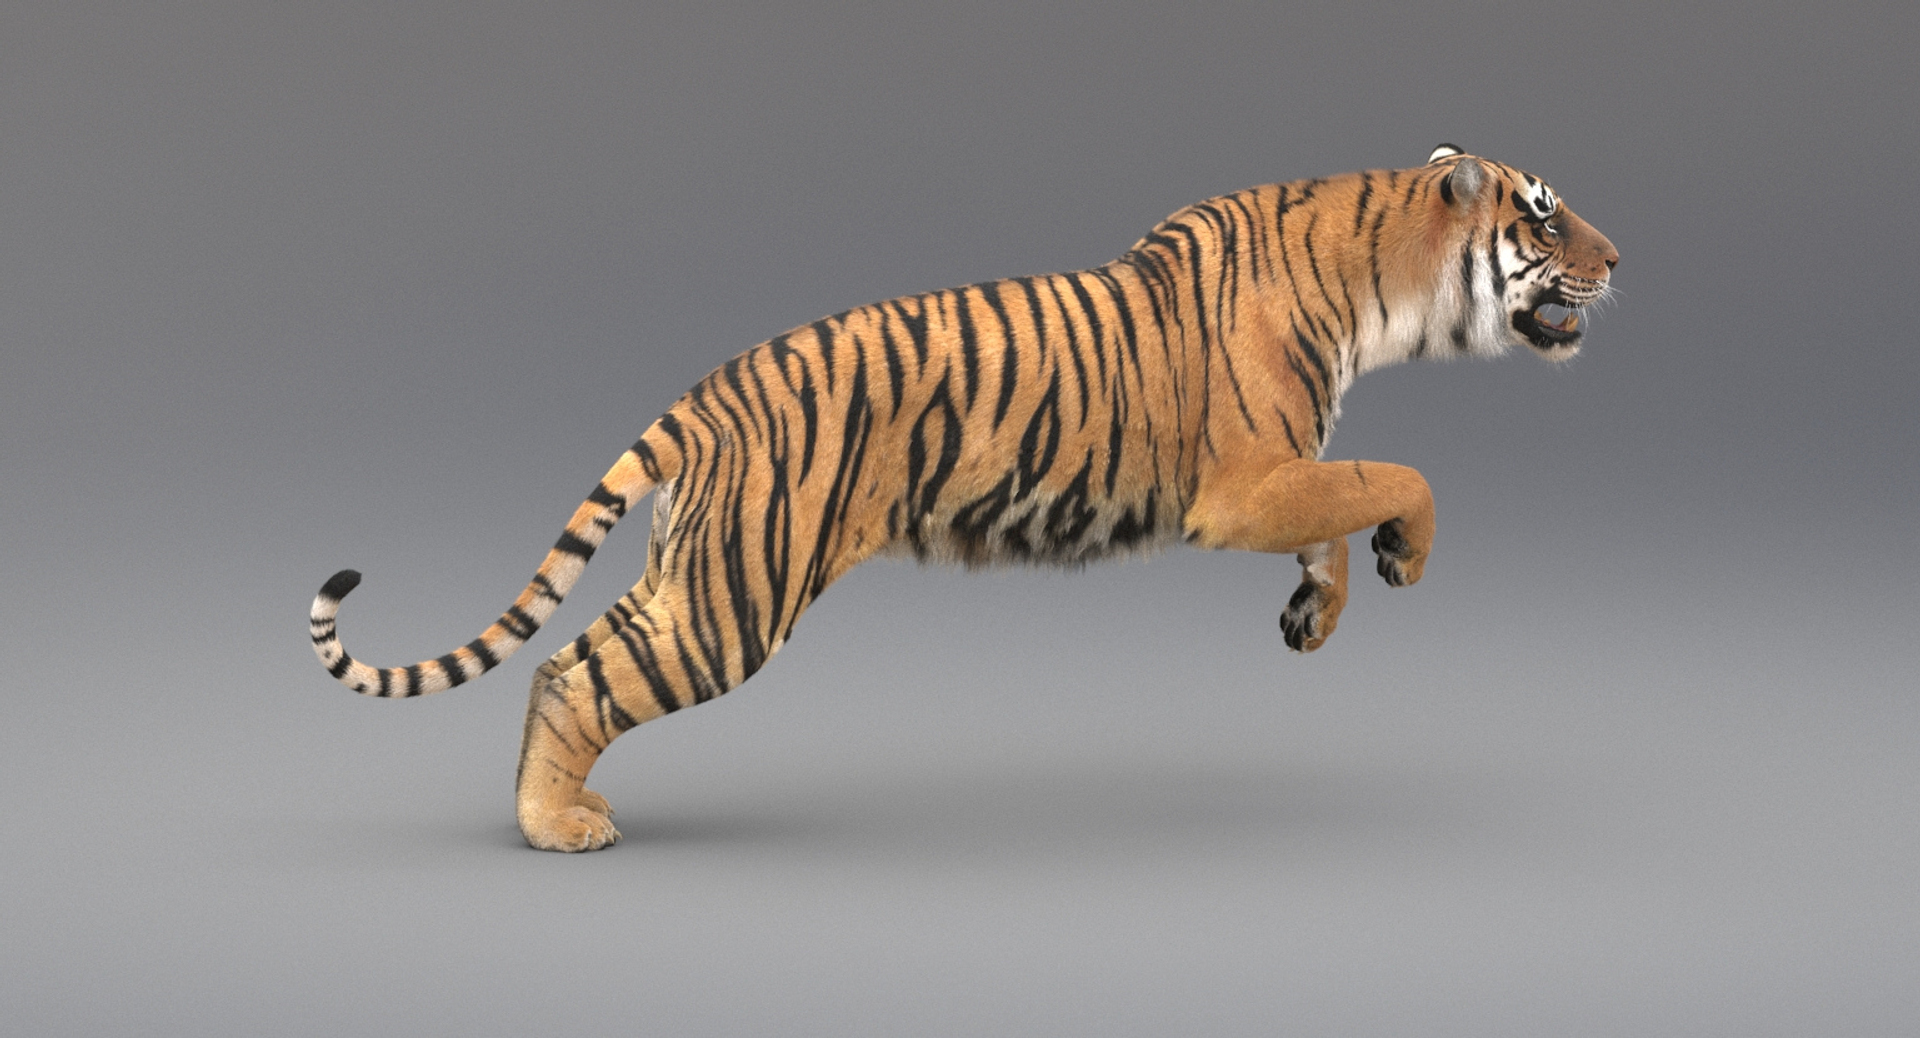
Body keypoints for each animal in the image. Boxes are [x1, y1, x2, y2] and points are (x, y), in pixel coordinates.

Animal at [310, 144, 1618, 851]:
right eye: (1544, 213)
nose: (1621, 262)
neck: (1378, 289)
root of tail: (708, 394)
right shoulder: (1245, 485)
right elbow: (1395, 474)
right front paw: (1408, 552)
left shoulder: (1285, 475)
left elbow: (1339, 512)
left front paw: (1320, 611)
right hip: (736, 594)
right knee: (573, 671)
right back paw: (556, 825)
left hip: (698, 565)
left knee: (574, 658)